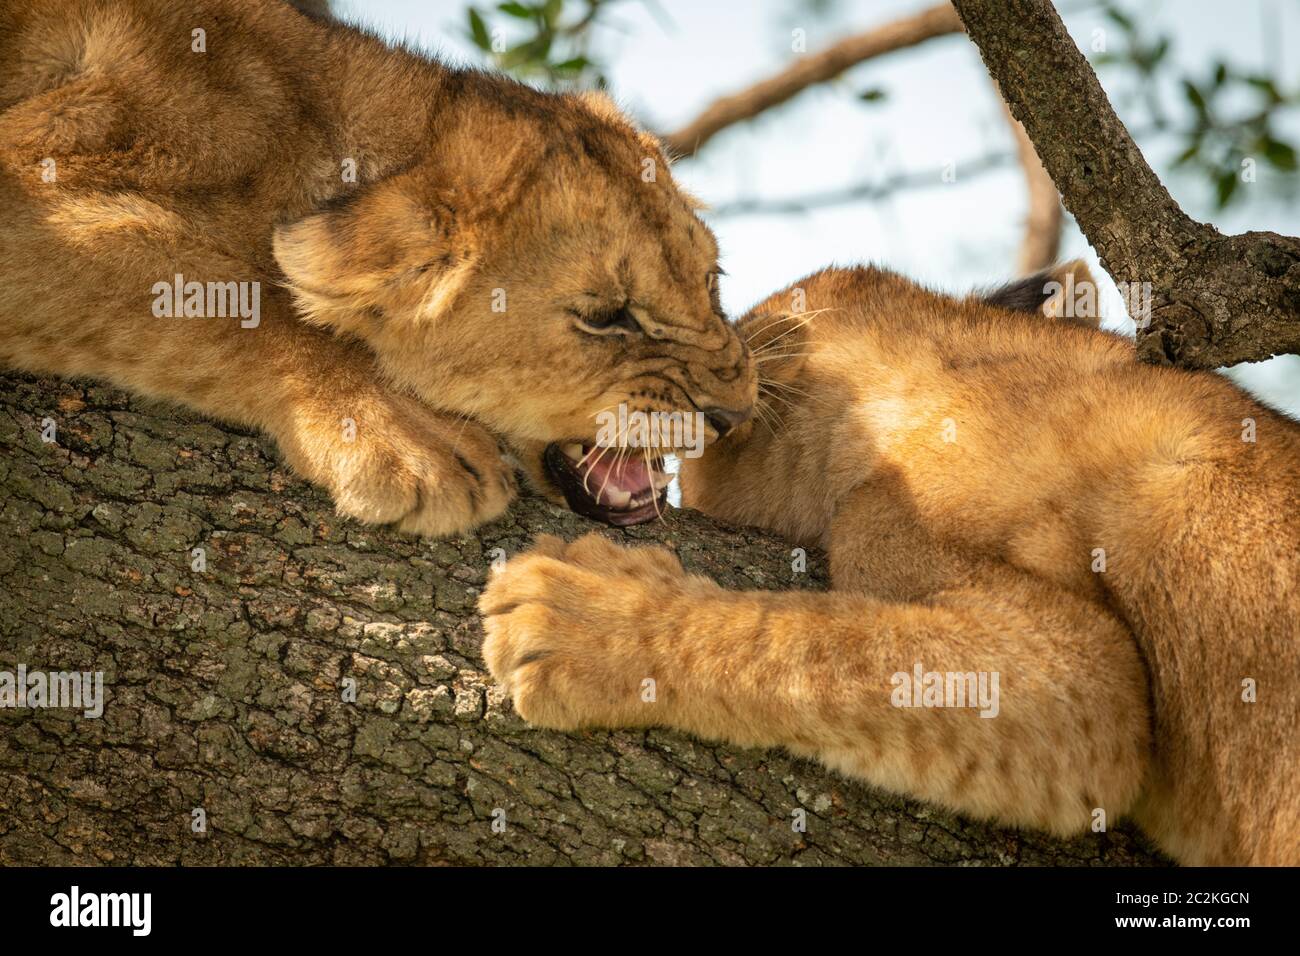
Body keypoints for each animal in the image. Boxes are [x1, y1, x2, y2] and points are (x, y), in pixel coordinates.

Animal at [0, 0, 755, 535]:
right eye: (606, 318)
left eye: (712, 282)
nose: (733, 416)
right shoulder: (45, 170)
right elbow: (237, 297)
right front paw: (411, 437)